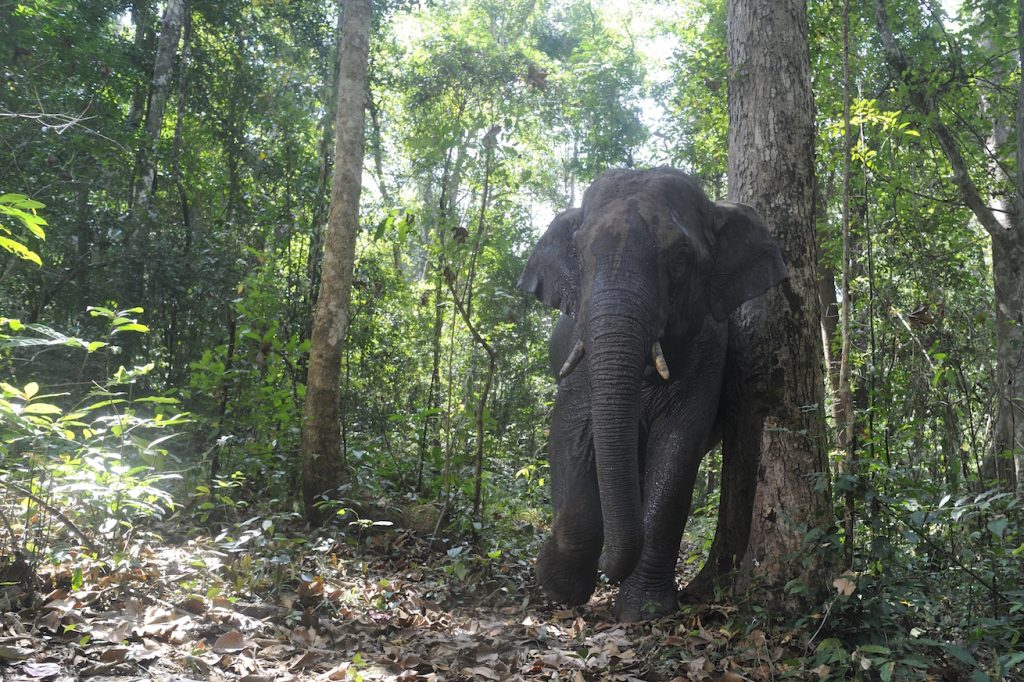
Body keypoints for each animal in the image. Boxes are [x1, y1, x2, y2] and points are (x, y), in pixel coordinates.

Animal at [518, 166, 787, 620]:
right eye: (580, 253)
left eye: (680, 260)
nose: (607, 570)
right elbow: (569, 432)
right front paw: (557, 587)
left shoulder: (707, 353)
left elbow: (678, 449)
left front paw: (644, 610)